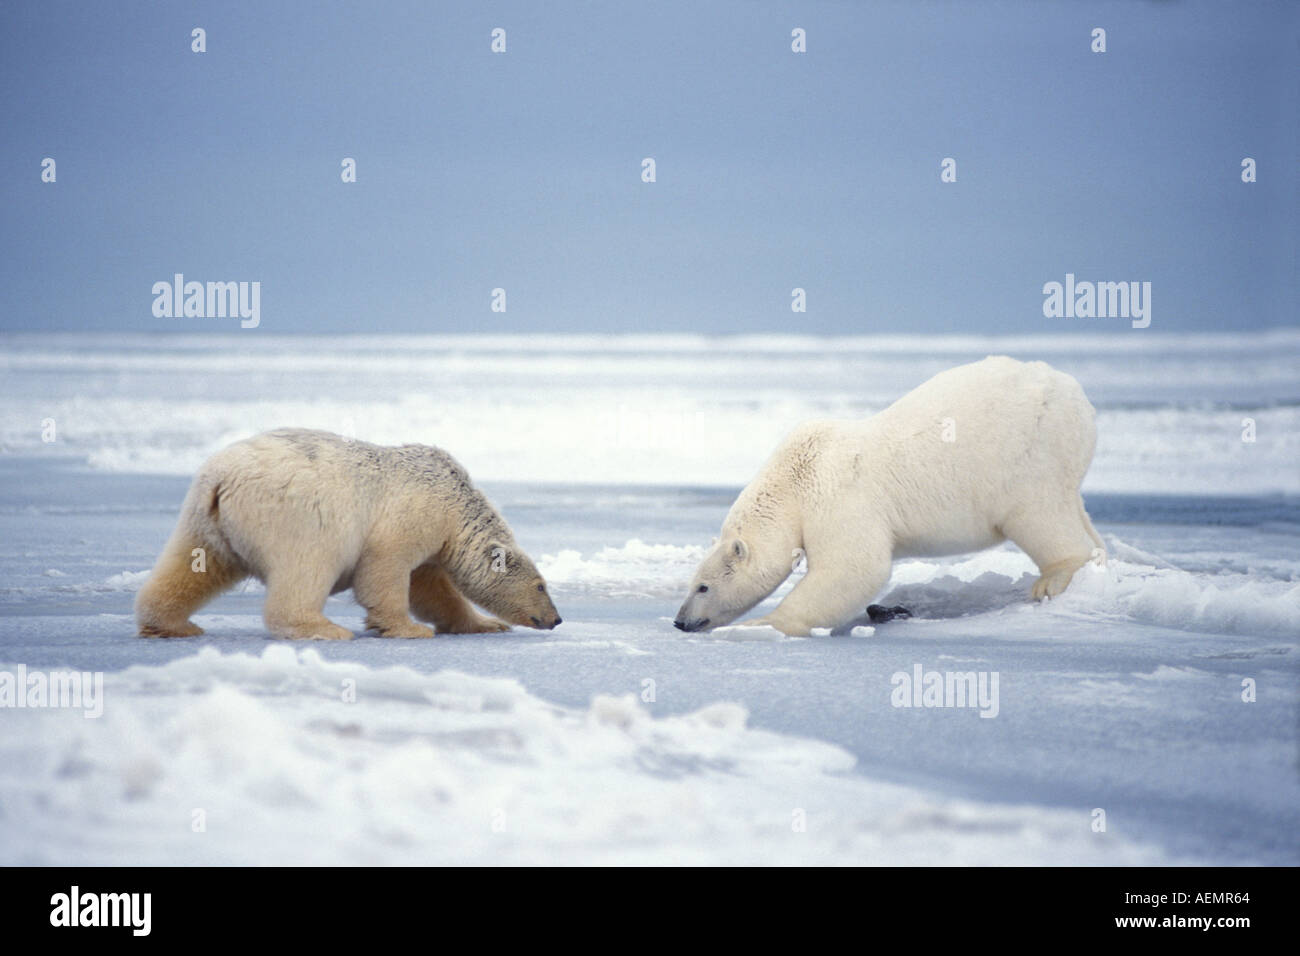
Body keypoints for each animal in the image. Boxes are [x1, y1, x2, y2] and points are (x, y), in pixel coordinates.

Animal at [135, 428, 562, 639]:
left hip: (204, 520)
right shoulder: (415, 515)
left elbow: (433, 589)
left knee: (193, 565)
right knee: (307, 568)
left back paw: (171, 625)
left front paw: (486, 623)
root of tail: (221, 479)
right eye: (541, 585)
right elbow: (385, 570)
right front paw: (408, 629)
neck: (455, 503)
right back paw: (325, 630)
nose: (556, 619)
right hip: (296, 515)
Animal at [673, 356, 1104, 637]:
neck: (794, 478)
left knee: (1041, 515)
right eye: (692, 582)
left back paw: (1053, 580)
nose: (680, 620)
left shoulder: (836, 498)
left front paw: (760, 624)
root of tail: (1076, 395)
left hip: (1029, 456)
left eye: (702, 587)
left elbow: (855, 566)